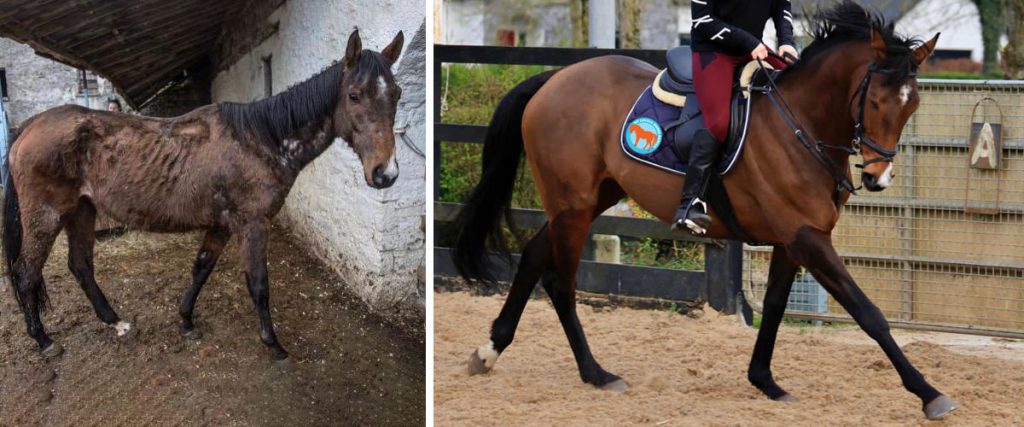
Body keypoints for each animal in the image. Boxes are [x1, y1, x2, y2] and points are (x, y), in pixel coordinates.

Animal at [3, 29, 404, 362]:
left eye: (397, 94)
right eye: (354, 95)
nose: (385, 173)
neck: (261, 139)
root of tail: (30, 126)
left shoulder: (222, 225)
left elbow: (200, 269)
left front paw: (186, 321)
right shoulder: (253, 225)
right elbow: (259, 285)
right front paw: (273, 344)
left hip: (81, 211)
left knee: (81, 267)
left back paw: (115, 322)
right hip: (46, 216)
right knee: (25, 273)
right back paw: (43, 340)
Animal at [452, 2, 960, 420]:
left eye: (912, 104)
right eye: (873, 100)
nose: (878, 178)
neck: (801, 125)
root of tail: (555, 78)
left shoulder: (794, 239)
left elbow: (774, 305)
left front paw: (765, 381)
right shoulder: (808, 238)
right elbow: (868, 312)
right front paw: (930, 394)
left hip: (588, 200)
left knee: (534, 257)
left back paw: (489, 351)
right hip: (573, 206)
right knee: (560, 282)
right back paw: (597, 373)